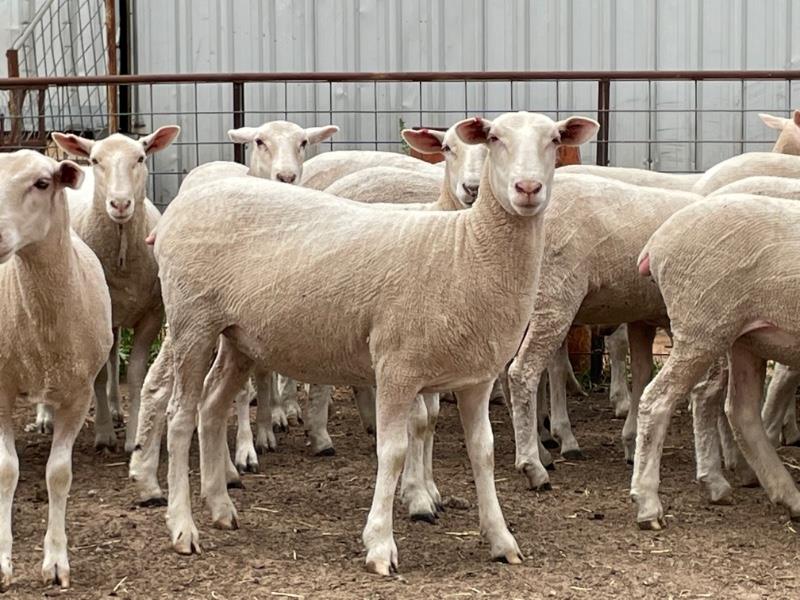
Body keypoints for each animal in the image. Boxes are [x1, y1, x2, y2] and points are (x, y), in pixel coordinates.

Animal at [0, 150, 113, 590]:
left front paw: (55, 561)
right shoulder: (0, 389)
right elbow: (7, 471)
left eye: (42, 183)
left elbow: (58, 475)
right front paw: (4, 561)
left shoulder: (78, 395)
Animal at [51, 126, 179, 453]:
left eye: (141, 157)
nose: (120, 204)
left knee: (112, 355)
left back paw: (116, 409)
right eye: (97, 160)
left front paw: (133, 437)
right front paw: (104, 433)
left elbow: (134, 375)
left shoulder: (151, 315)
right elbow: (96, 375)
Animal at [152, 111, 599, 574]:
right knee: (180, 415)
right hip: (191, 322)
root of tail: (187, 201)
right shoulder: (397, 367)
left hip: (238, 337)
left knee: (211, 406)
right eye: (493, 138)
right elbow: (394, 451)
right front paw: (381, 543)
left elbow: (484, 452)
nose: (527, 188)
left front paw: (501, 538)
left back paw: (221, 507)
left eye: (555, 139)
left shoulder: (476, 378)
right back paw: (183, 527)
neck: (465, 250)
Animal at [632, 193, 800, 529]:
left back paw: (785, 495)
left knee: (741, 411)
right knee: (657, 401)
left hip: (744, 337)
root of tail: (655, 243)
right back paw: (648, 505)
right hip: (703, 324)